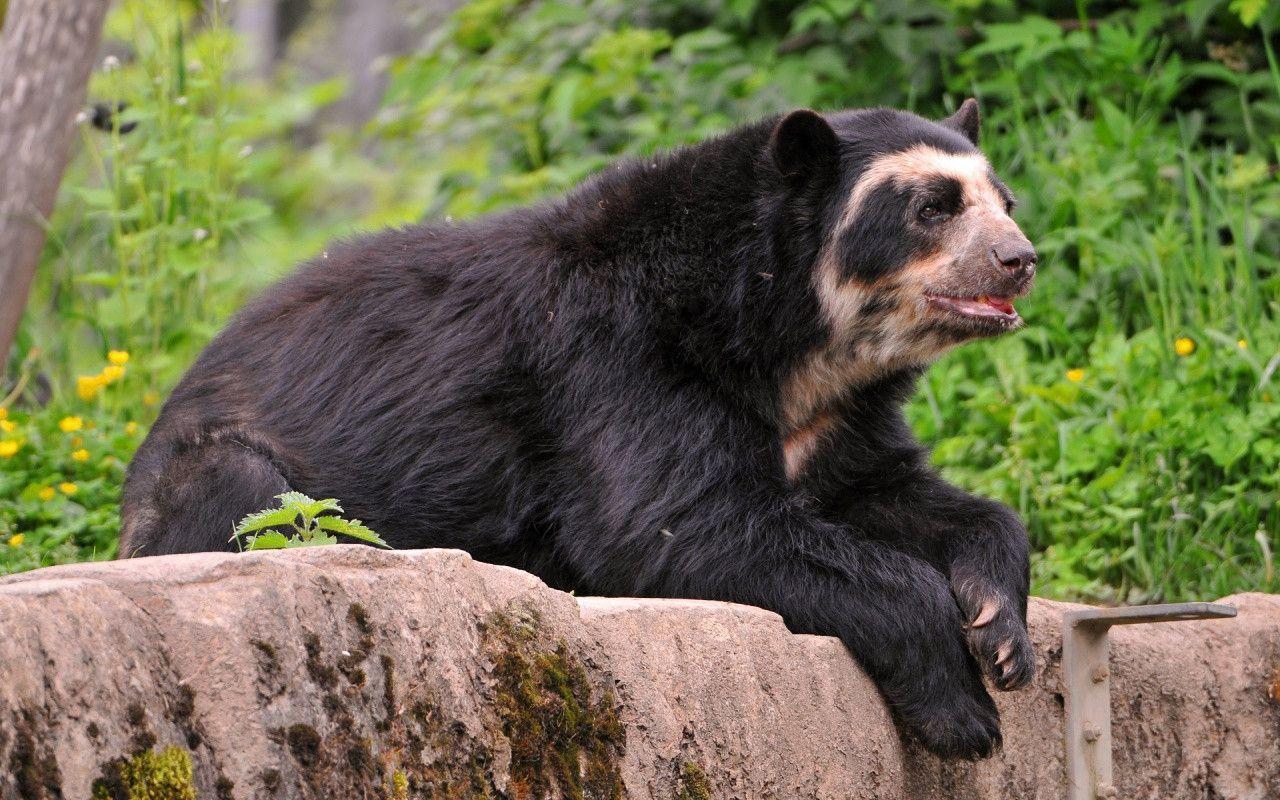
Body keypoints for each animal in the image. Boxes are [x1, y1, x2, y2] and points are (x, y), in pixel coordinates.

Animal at [120, 98, 1038, 759]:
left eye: (1004, 202)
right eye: (932, 207)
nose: (1020, 258)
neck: (790, 341)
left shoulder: (836, 418)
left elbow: (896, 493)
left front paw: (1001, 632)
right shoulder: (619, 360)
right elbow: (676, 525)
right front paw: (962, 711)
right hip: (218, 475)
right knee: (242, 494)